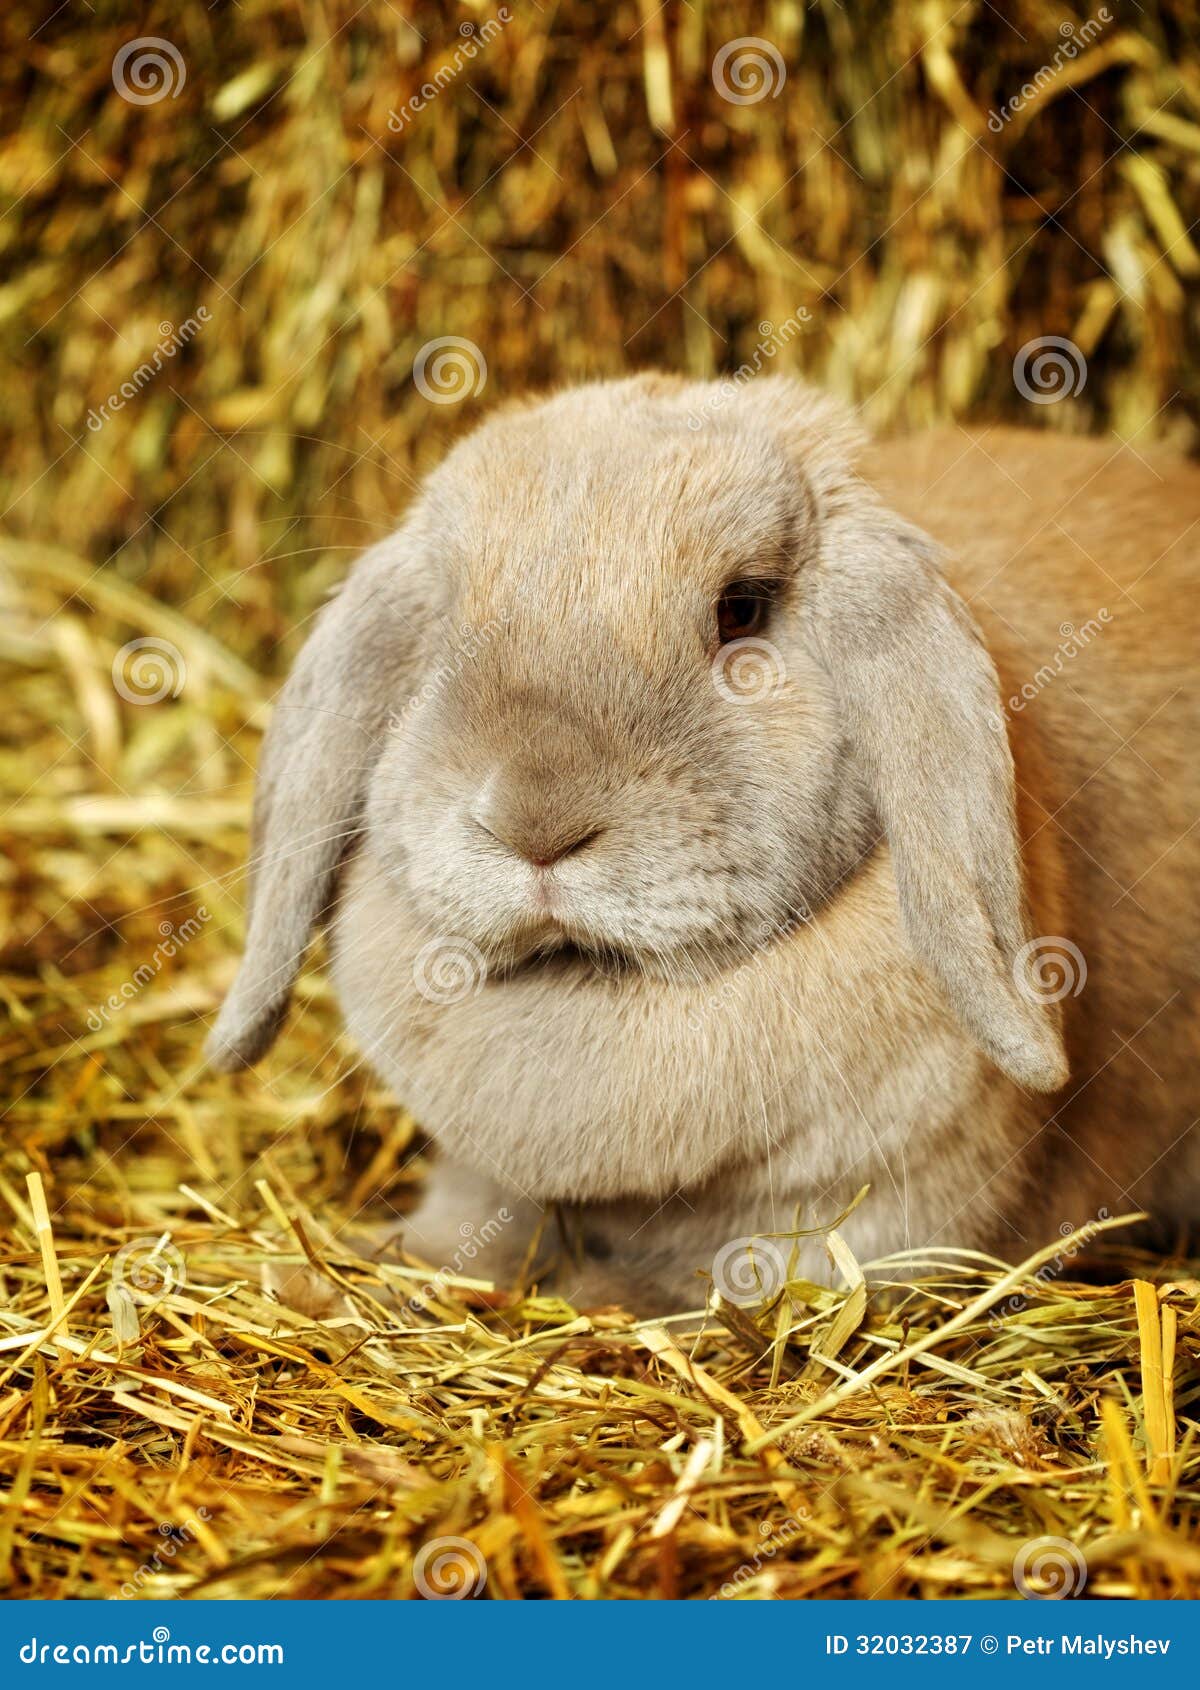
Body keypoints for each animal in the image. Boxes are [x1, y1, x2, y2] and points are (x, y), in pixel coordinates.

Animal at [207, 373, 1200, 1313]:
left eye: (742, 610)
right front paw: (341, 1277)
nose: (533, 823)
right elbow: (461, 1234)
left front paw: (609, 1298)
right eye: (445, 619)